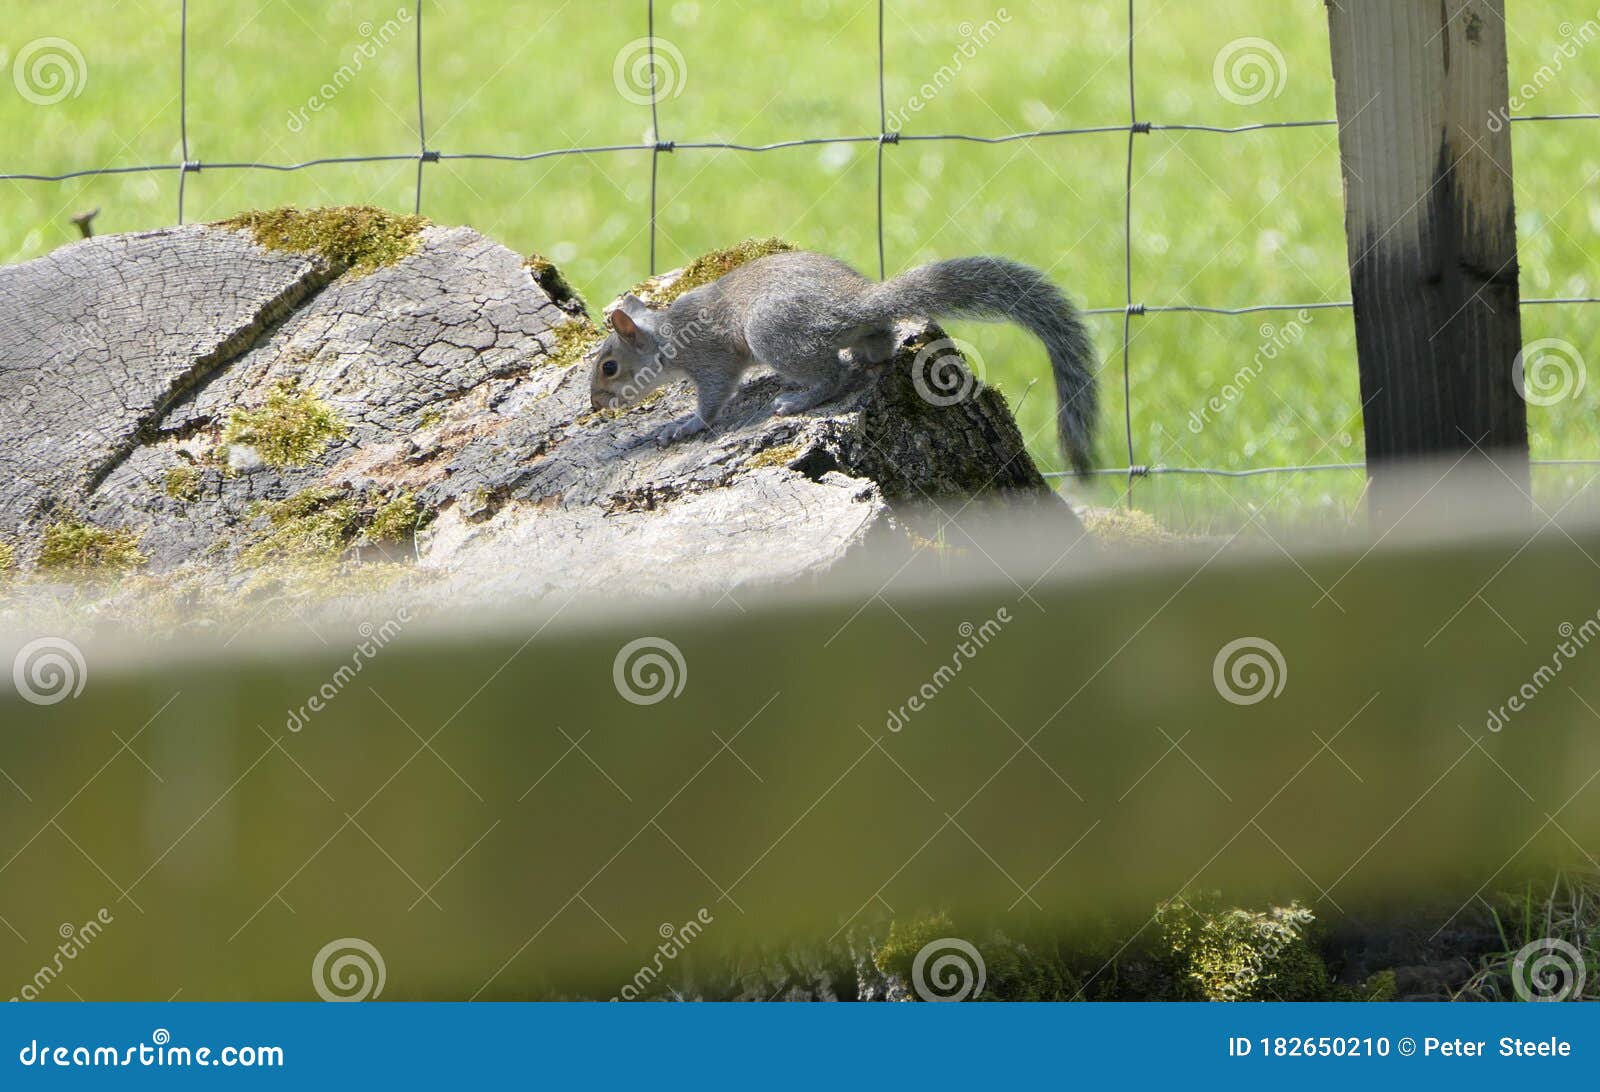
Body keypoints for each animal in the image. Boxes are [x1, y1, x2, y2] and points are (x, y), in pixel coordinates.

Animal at [588, 251, 1098, 474]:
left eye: (609, 367)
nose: (595, 404)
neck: (666, 335)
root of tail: (850, 306)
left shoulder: (710, 359)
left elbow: (713, 397)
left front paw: (684, 425)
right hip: (860, 331)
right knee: (878, 342)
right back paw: (871, 358)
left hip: (770, 333)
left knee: (832, 374)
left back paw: (796, 400)